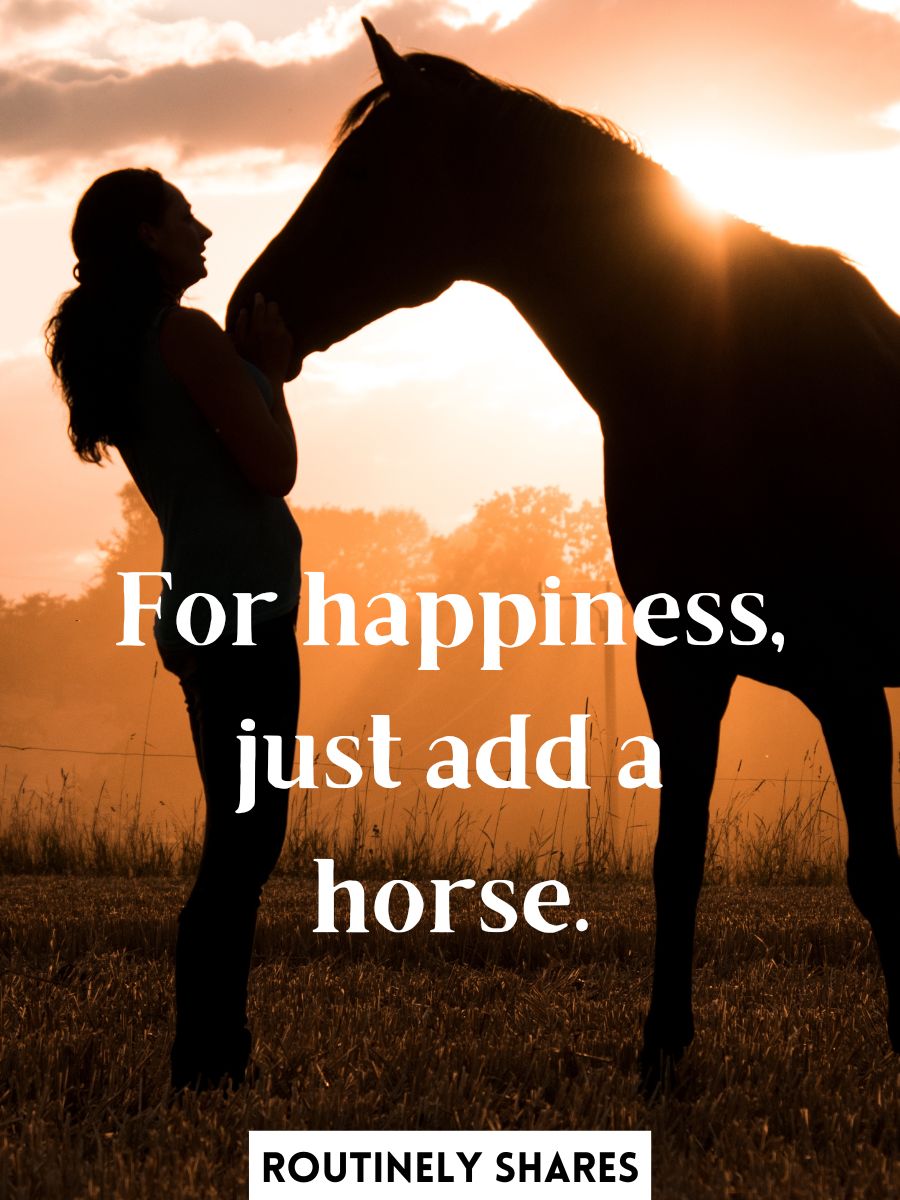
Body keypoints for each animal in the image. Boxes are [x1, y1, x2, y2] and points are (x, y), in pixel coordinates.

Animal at [228, 20, 900, 1089]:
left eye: (364, 171)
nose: (250, 305)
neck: (722, 370)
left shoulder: (843, 678)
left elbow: (876, 874)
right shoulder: (683, 665)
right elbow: (678, 859)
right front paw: (662, 1051)